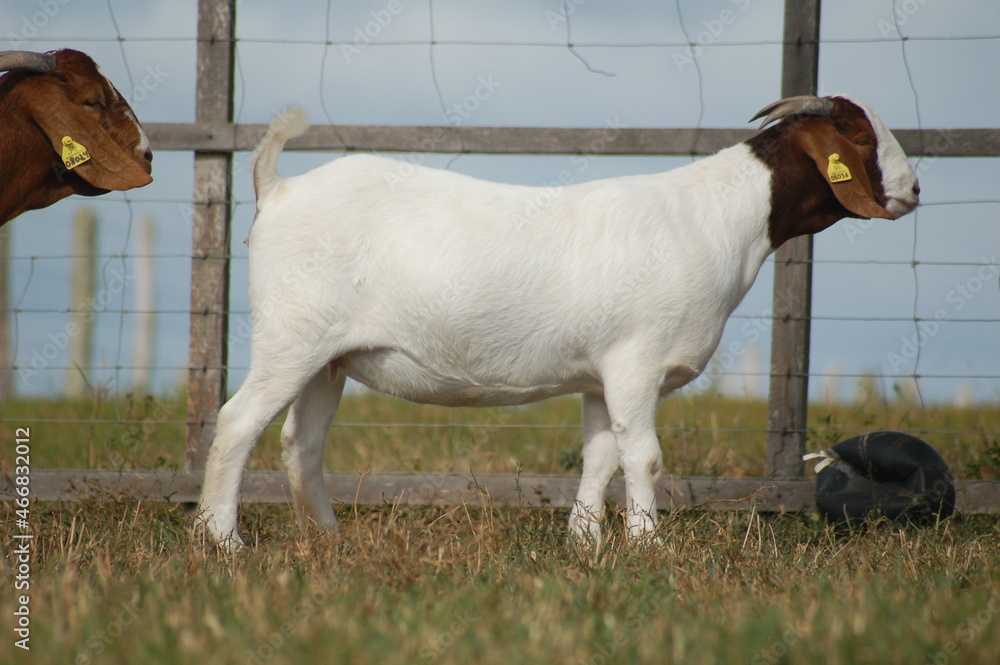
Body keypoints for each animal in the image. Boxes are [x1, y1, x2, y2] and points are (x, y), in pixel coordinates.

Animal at [198, 95, 920, 548]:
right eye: (859, 137)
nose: (914, 189)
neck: (715, 219)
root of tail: (279, 187)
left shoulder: (601, 374)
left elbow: (599, 455)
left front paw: (584, 543)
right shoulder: (635, 361)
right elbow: (644, 456)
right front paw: (649, 546)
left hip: (328, 357)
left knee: (301, 442)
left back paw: (327, 539)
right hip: (290, 337)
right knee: (236, 423)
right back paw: (222, 541)